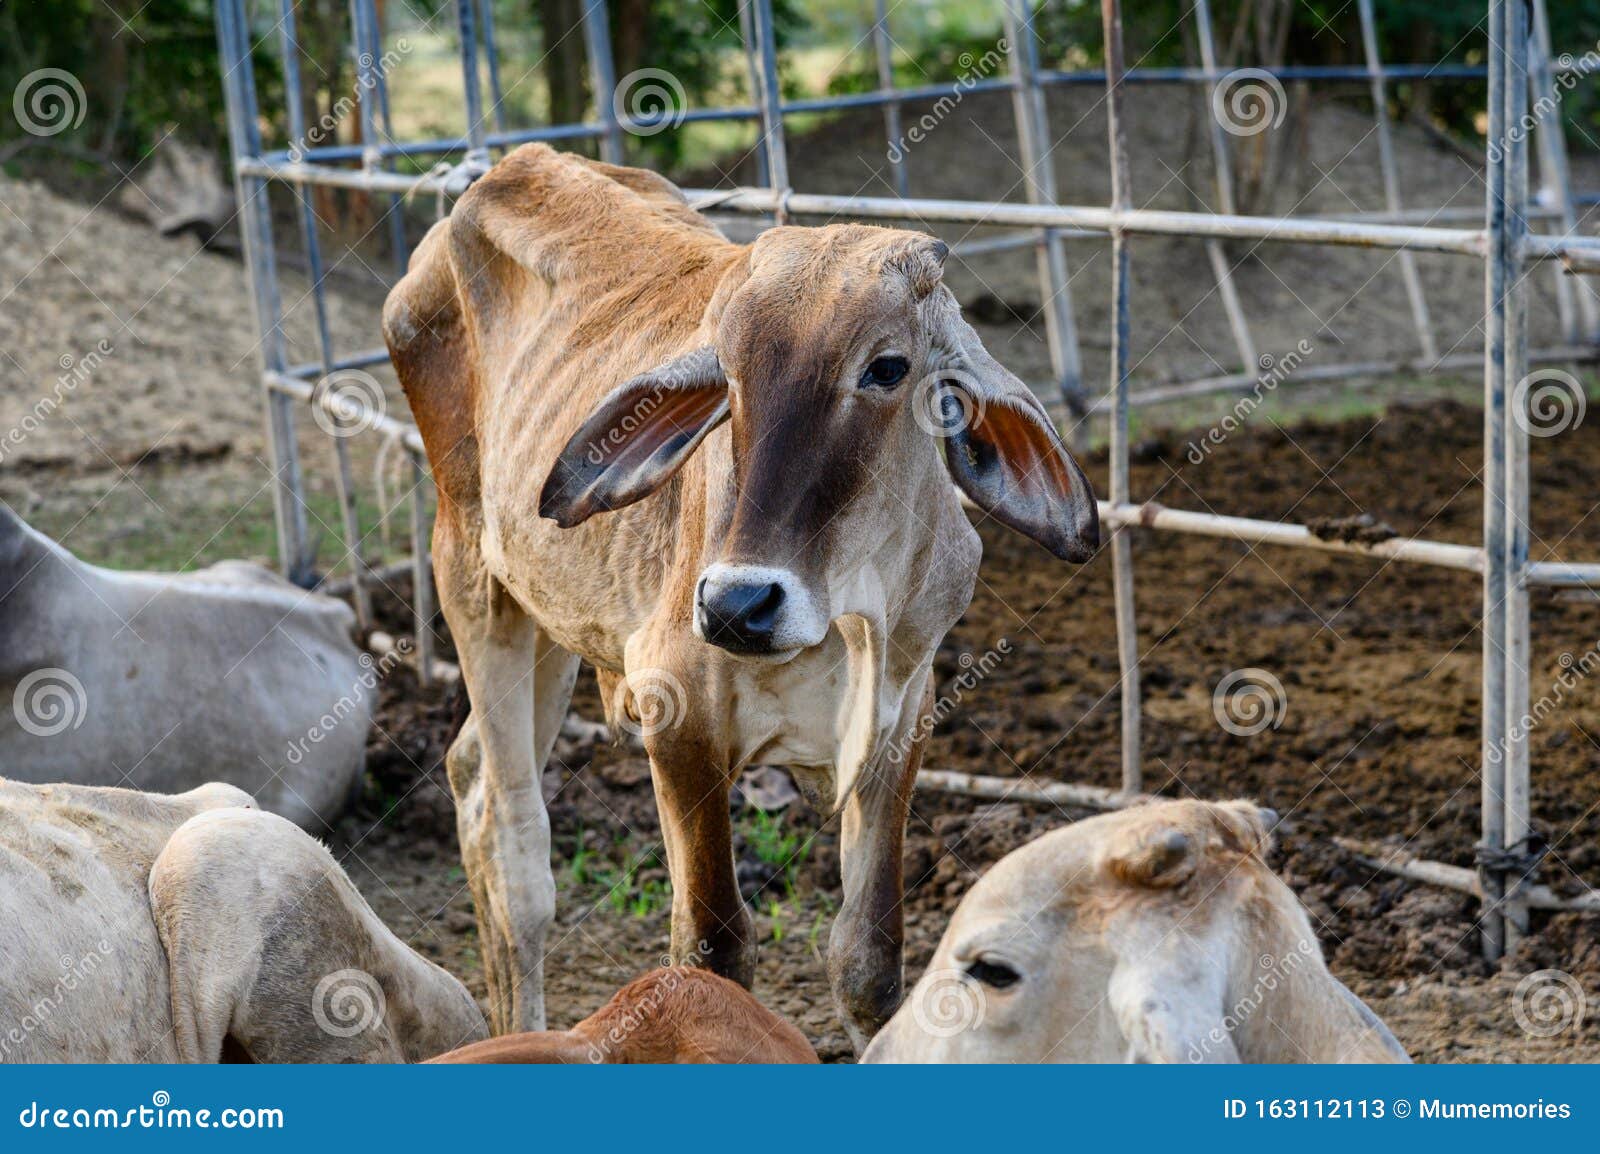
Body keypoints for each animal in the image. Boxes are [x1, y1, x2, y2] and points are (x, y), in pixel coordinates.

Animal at [382, 143, 1098, 1047]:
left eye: (887, 368)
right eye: (725, 375)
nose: (735, 605)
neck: (847, 611)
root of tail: (507, 166)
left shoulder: (902, 720)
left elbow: (868, 962)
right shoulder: (677, 715)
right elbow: (713, 953)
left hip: (553, 623)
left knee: (470, 773)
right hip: (474, 577)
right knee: (513, 844)